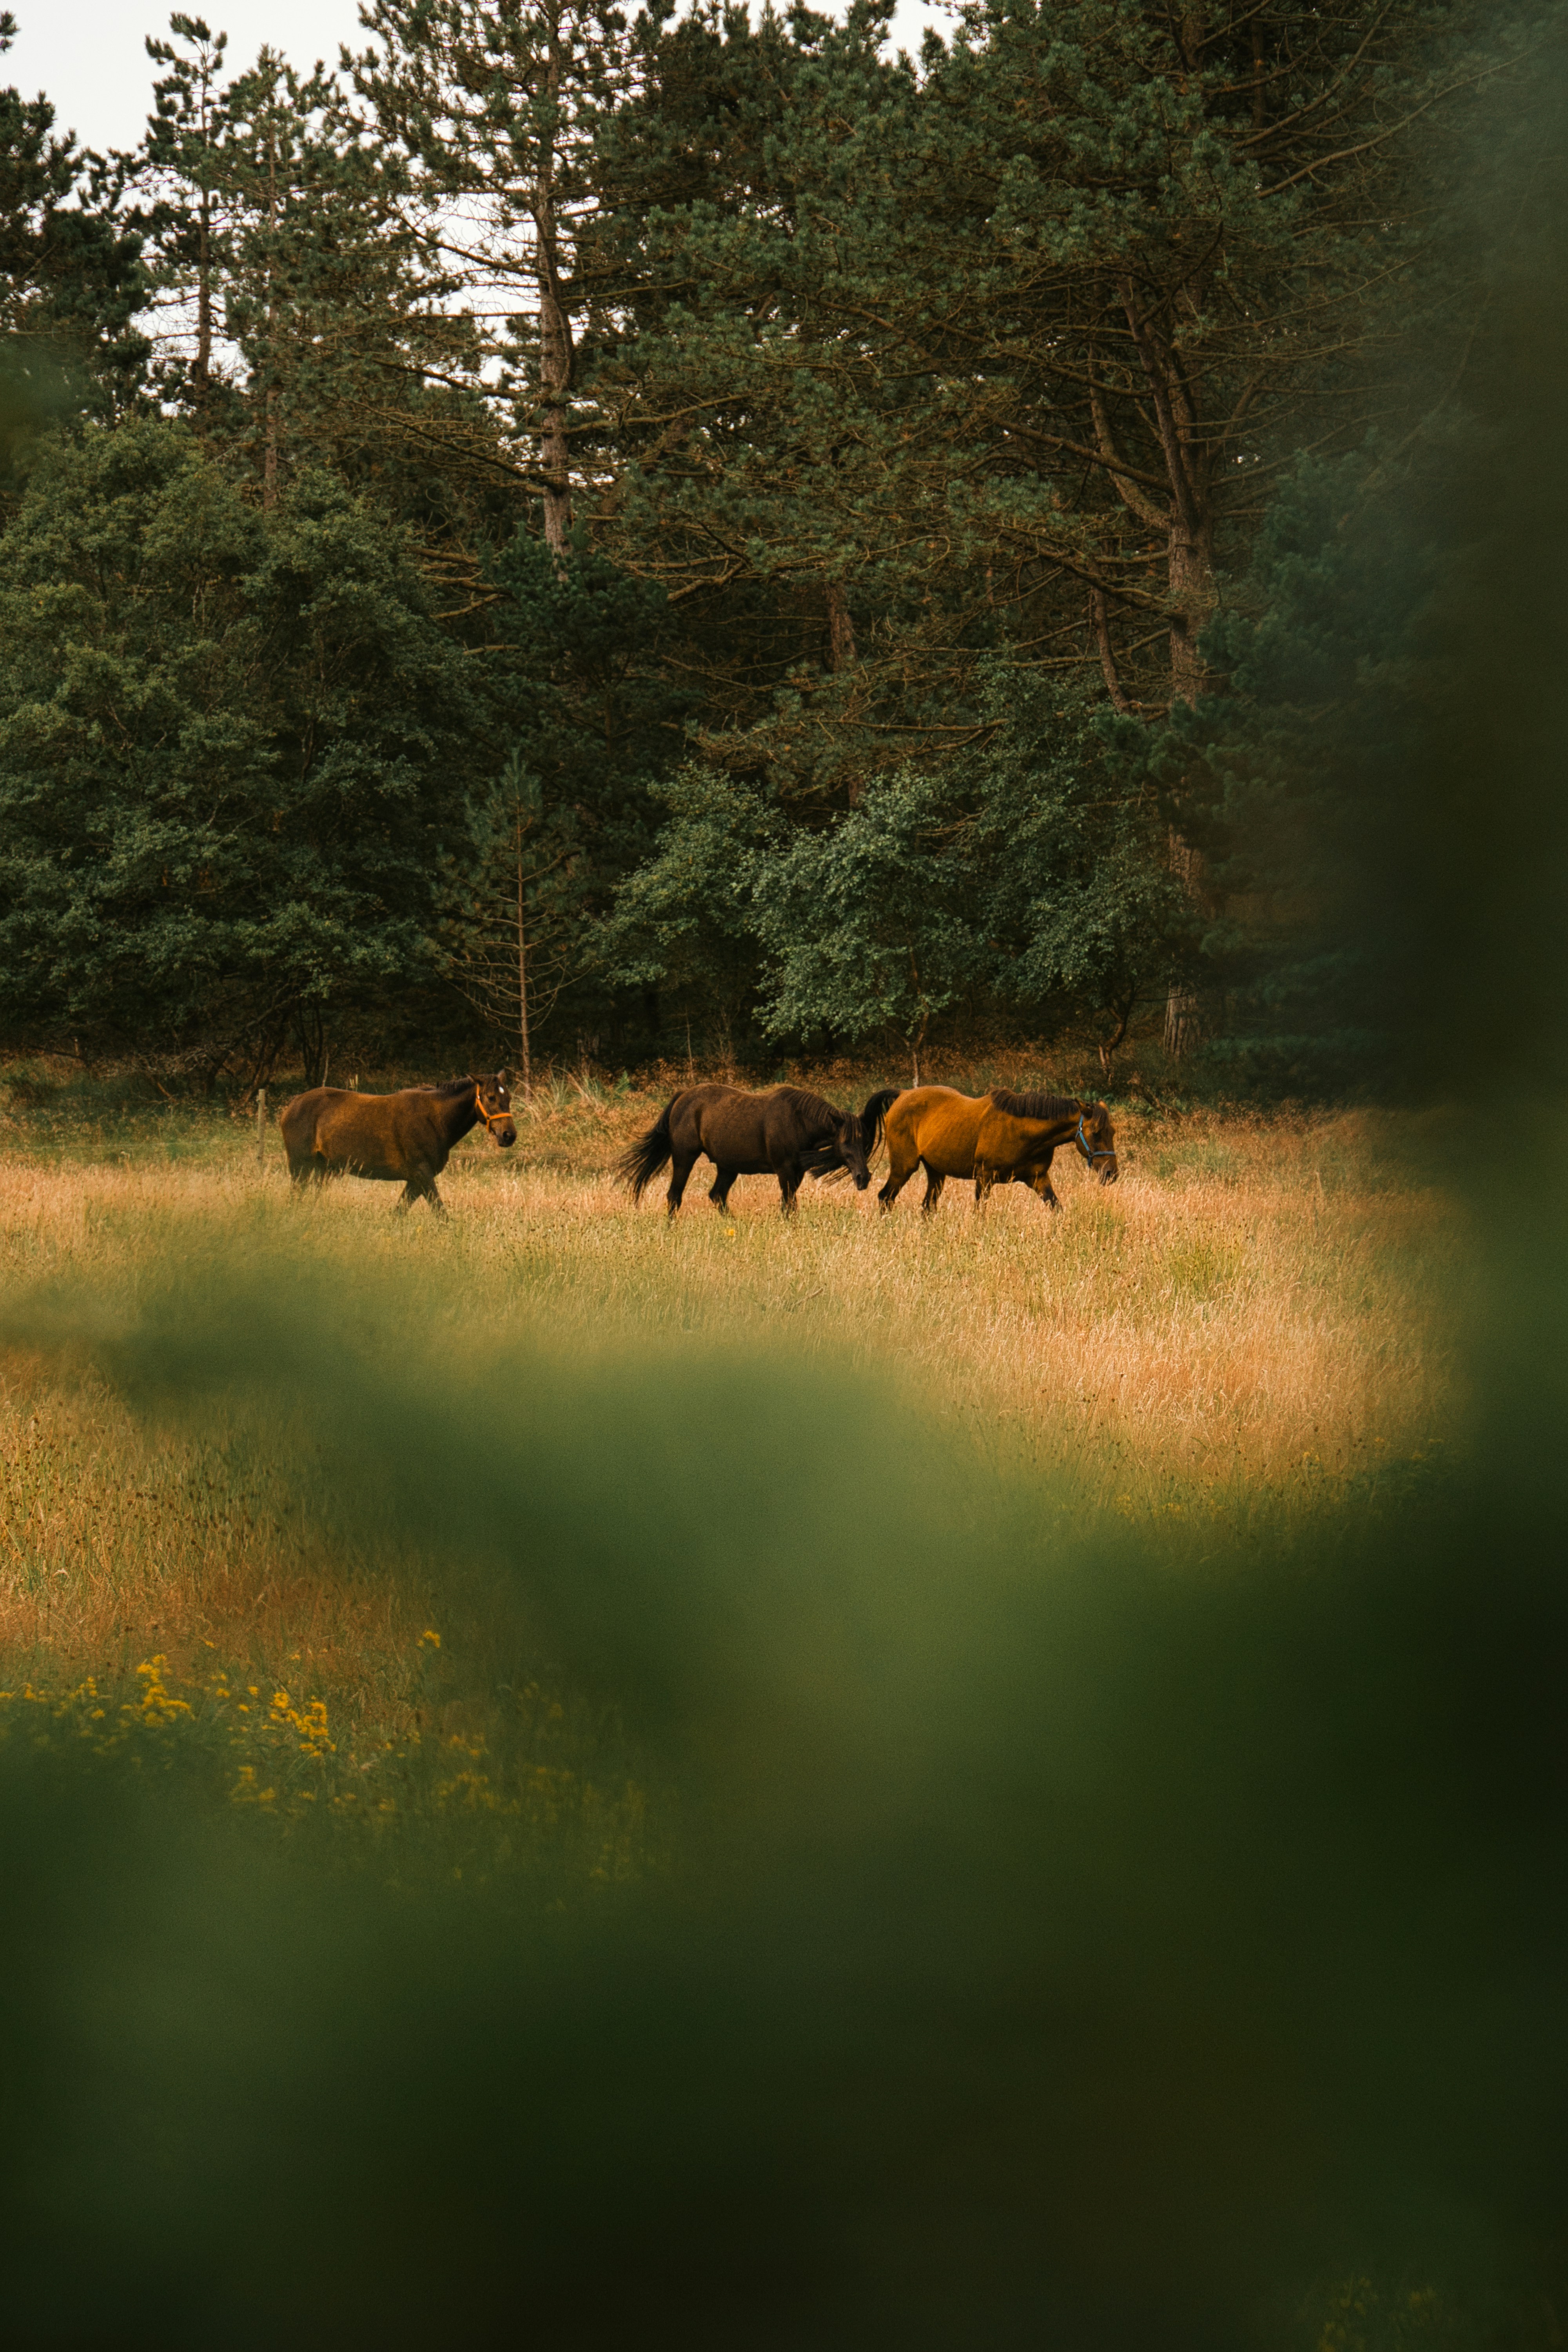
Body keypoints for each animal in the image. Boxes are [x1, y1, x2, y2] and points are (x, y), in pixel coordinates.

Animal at [279, 1073, 517, 1214]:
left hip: (323, 1169)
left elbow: (399, 1214)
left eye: (509, 1097)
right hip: (301, 1166)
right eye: (490, 1097)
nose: (509, 1135)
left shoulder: (415, 1181)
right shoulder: (423, 1175)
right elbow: (440, 1214)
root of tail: (292, 1106)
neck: (434, 1120)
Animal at [617, 1083, 899, 1218]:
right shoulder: (785, 1171)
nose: (863, 1178)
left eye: (864, 1142)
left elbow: (788, 1204)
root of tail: (683, 1096)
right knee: (674, 1196)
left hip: (727, 1167)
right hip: (684, 1158)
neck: (797, 1120)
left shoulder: (796, 1173)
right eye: (846, 1142)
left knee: (717, 1196)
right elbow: (789, 1205)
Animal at [877, 1086, 1118, 1215]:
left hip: (936, 1172)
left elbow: (1057, 1208)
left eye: (1113, 1132)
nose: (1111, 1174)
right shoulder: (984, 1178)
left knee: (927, 1206)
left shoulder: (1039, 1179)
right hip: (904, 1167)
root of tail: (903, 1094)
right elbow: (979, 1214)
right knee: (885, 1197)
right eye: (1096, 1134)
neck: (1021, 1131)